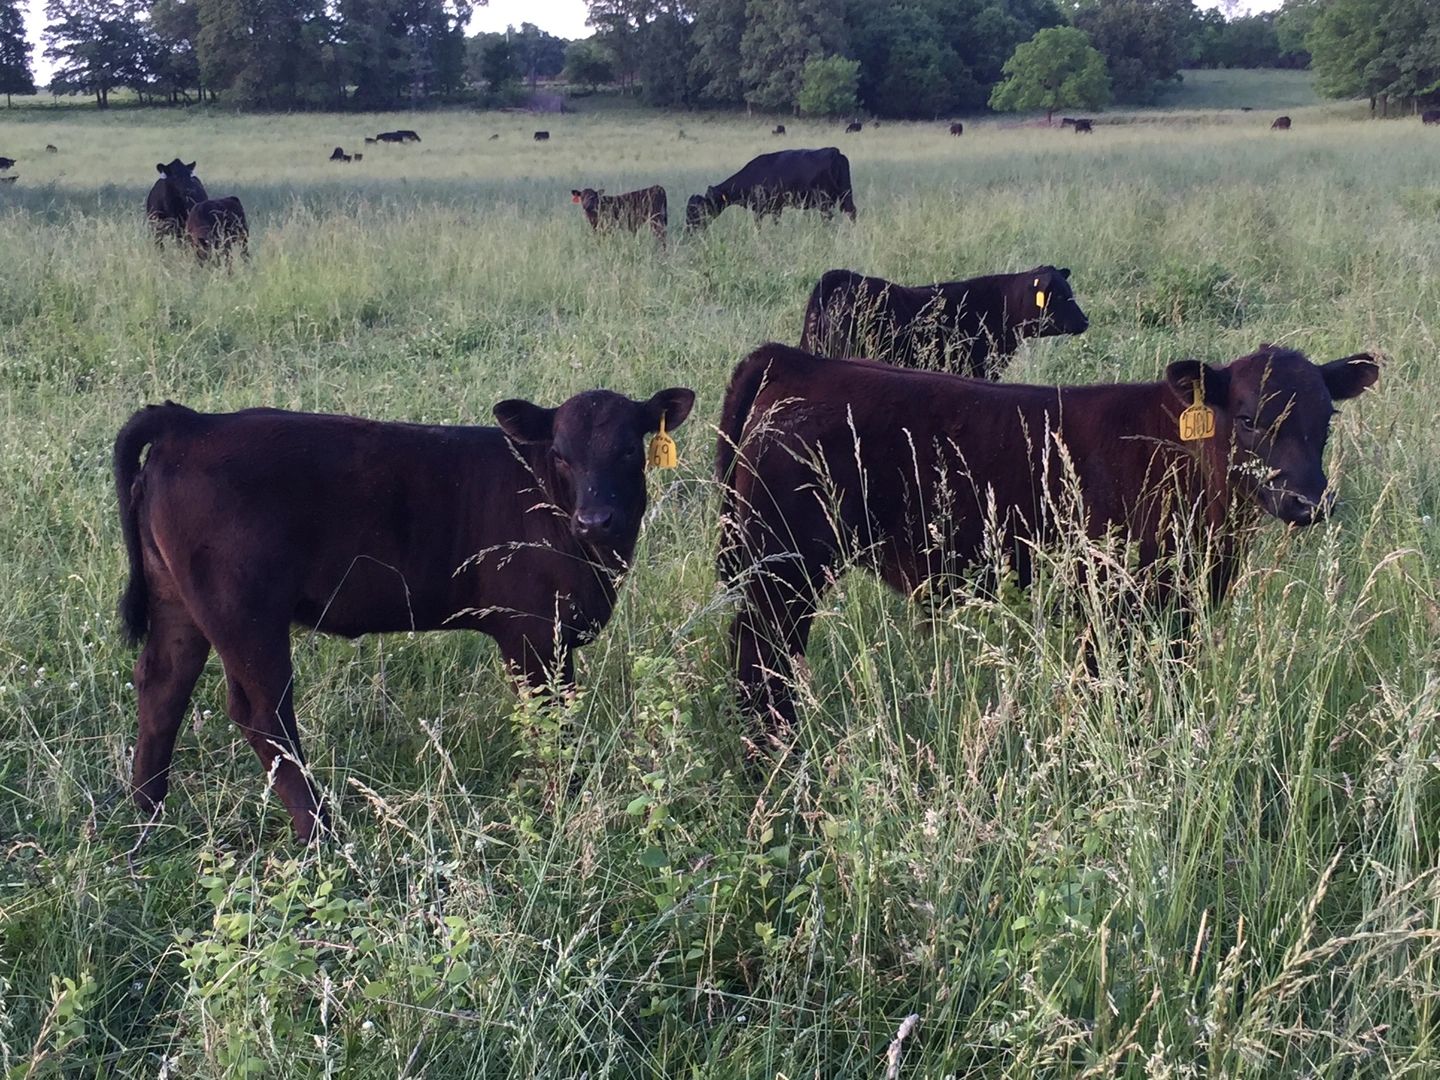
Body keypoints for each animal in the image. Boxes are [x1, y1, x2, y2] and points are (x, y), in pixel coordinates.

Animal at [114, 386, 696, 841]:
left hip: (180, 604)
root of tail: (193, 423)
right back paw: (319, 831)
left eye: (629, 448)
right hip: (244, 614)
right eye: (559, 453)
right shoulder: (530, 633)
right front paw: (563, 801)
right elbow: (549, 720)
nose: (594, 519)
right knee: (263, 715)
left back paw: (148, 812)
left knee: (162, 686)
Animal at [686, 147, 856, 231]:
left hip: (825, 201)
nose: (689, 229)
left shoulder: (761, 209)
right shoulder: (776, 209)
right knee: (851, 212)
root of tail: (835, 152)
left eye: (696, 210)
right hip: (845, 195)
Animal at [715, 343, 1378, 731]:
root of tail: (796, 361)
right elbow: (1106, 688)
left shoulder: (1180, 608)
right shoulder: (1115, 602)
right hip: (782, 567)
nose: (1308, 501)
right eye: (1247, 418)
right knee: (760, 660)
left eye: (1326, 418)